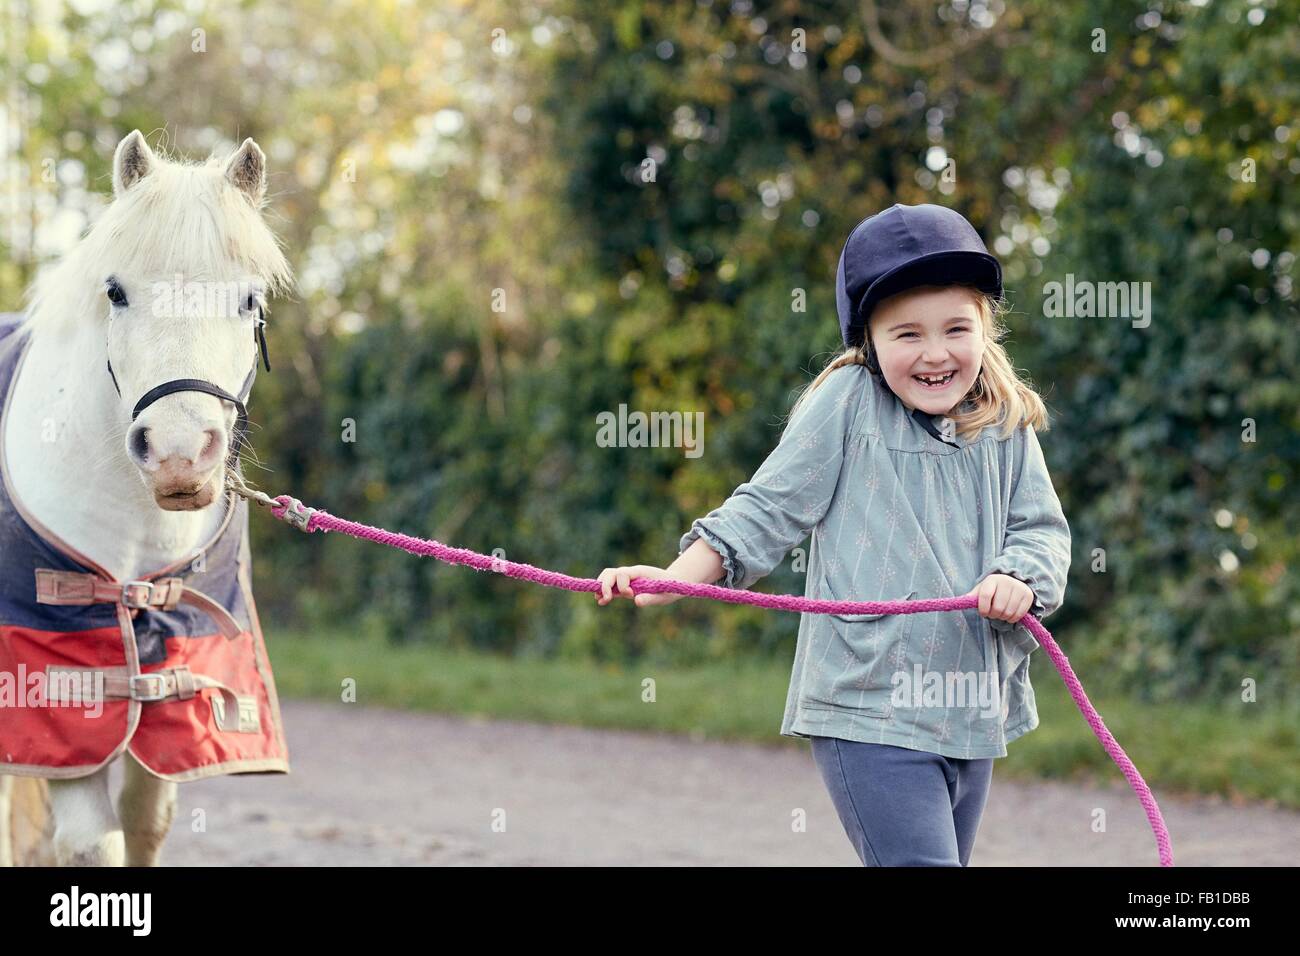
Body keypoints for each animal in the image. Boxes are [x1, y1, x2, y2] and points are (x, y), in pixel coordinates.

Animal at [0, 130, 294, 866]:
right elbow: (92, 841)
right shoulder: (57, 689)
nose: (179, 453)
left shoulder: (176, 673)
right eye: (116, 291)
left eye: (250, 299)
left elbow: (146, 819)